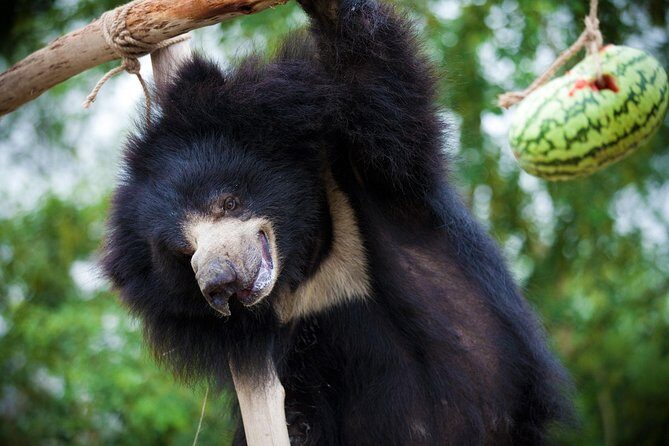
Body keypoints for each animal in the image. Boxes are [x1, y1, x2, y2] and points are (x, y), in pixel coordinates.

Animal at [102, 0, 572, 444]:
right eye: (184, 251)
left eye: (227, 202)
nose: (218, 282)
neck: (306, 256)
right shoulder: (292, 340)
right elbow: (299, 407)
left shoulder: (362, 167)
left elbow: (384, 99)